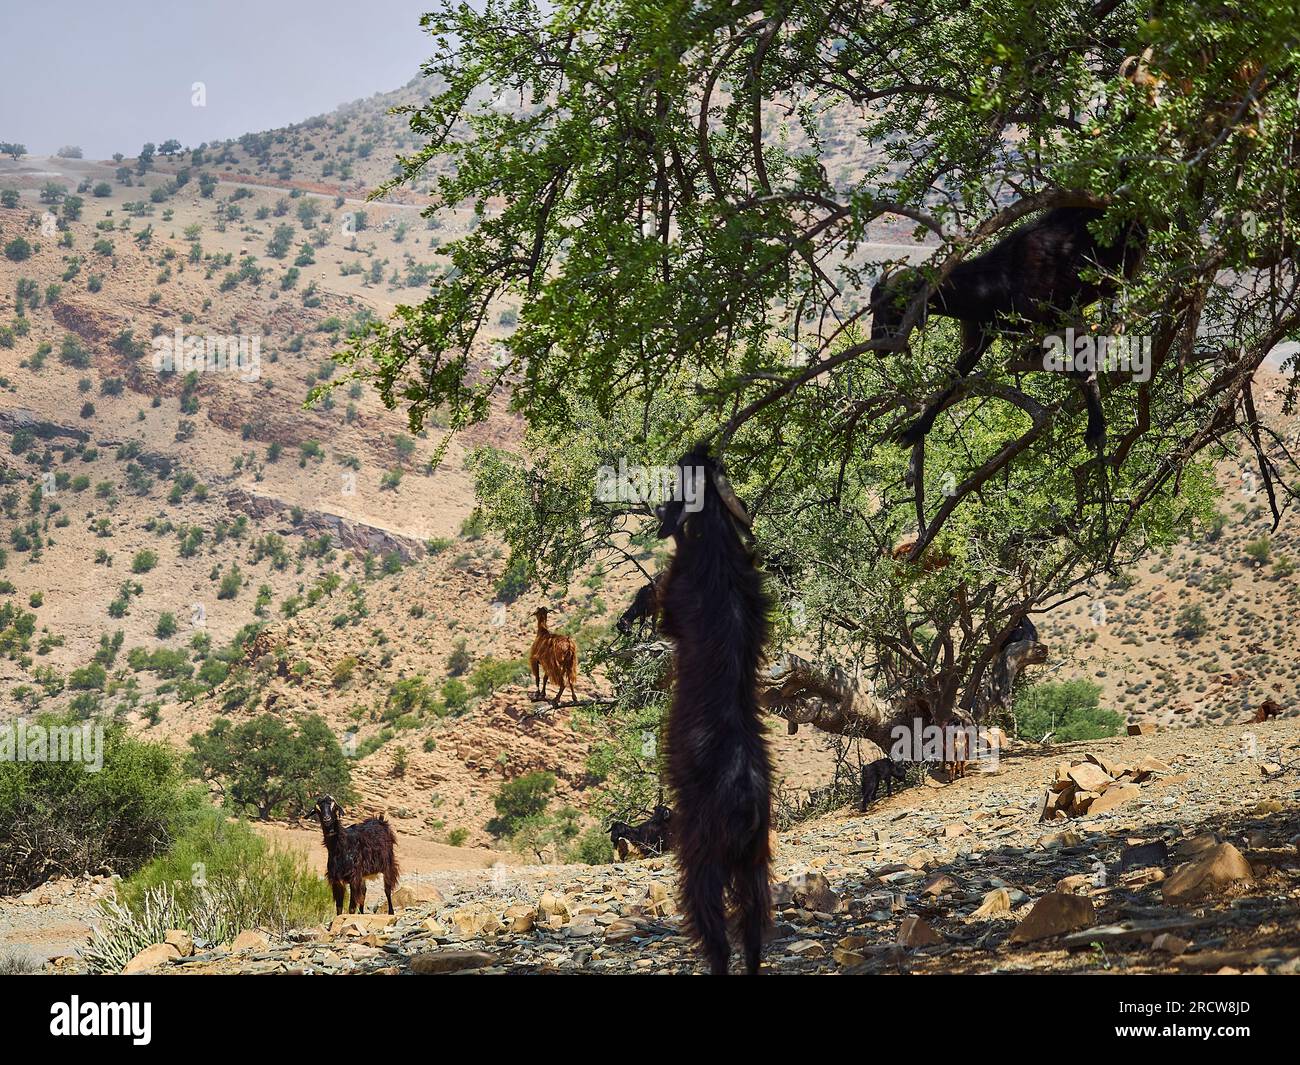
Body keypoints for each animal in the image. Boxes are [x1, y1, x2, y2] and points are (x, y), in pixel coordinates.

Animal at [871, 206, 1144, 451]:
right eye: (873, 306)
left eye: (895, 305)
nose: (879, 349)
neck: (993, 281)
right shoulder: (977, 335)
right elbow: (953, 380)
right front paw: (915, 430)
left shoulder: (1065, 316)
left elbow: (1084, 369)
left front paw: (1096, 429)